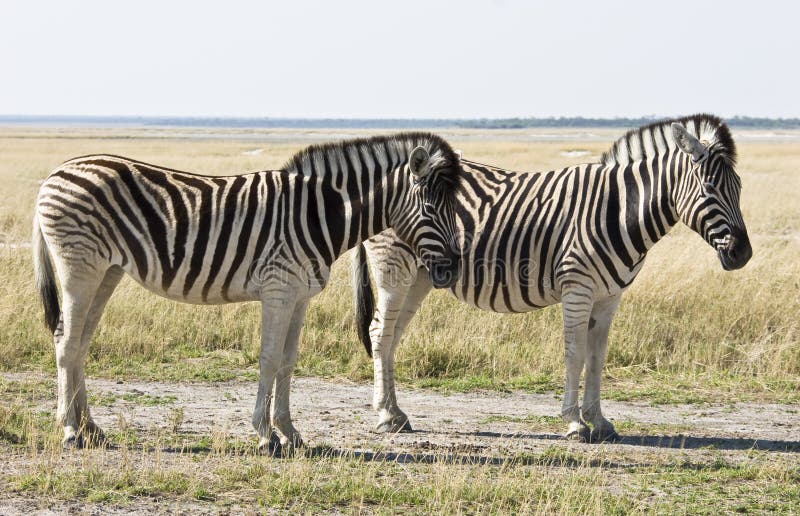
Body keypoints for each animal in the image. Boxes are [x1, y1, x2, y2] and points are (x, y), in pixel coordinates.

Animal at [32, 132, 462, 451]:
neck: (317, 216)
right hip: (79, 267)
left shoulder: (299, 295)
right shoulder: (278, 289)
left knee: (79, 342)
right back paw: (69, 431)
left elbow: (288, 361)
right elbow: (269, 360)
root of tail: (55, 172)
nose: (453, 269)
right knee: (66, 342)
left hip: (107, 271)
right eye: (431, 208)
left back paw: (91, 428)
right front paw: (265, 435)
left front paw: (290, 433)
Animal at [352, 115, 752, 442]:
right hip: (394, 268)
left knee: (391, 336)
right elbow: (575, 353)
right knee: (380, 332)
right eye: (710, 190)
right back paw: (385, 415)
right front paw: (574, 422)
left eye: (740, 187)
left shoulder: (609, 295)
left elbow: (597, 357)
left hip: (421, 275)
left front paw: (599, 422)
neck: (619, 212)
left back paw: (396, 413)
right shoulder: (578, 287)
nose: (742, 255)